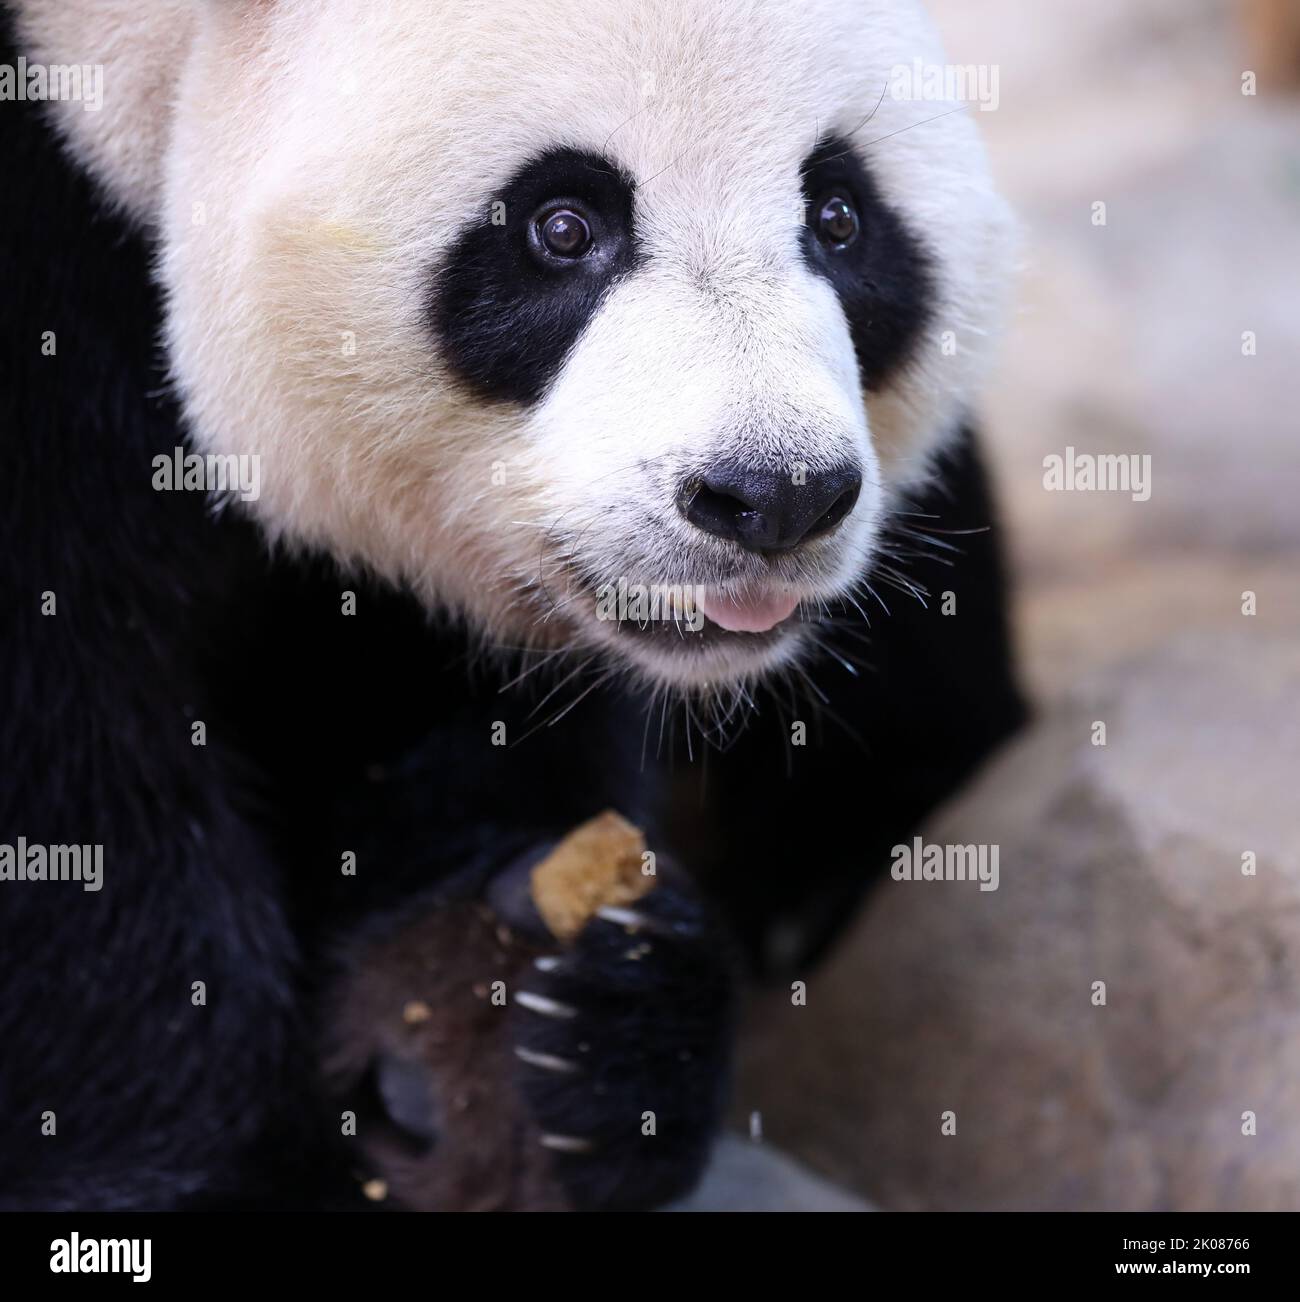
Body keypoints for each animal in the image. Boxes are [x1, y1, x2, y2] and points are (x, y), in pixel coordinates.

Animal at [0, 0, 1024, 1211]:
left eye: (839, 216)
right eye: (563, 226)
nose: (773, 497)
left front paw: (553, 1040)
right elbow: (69, 792)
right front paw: (215, 1168)